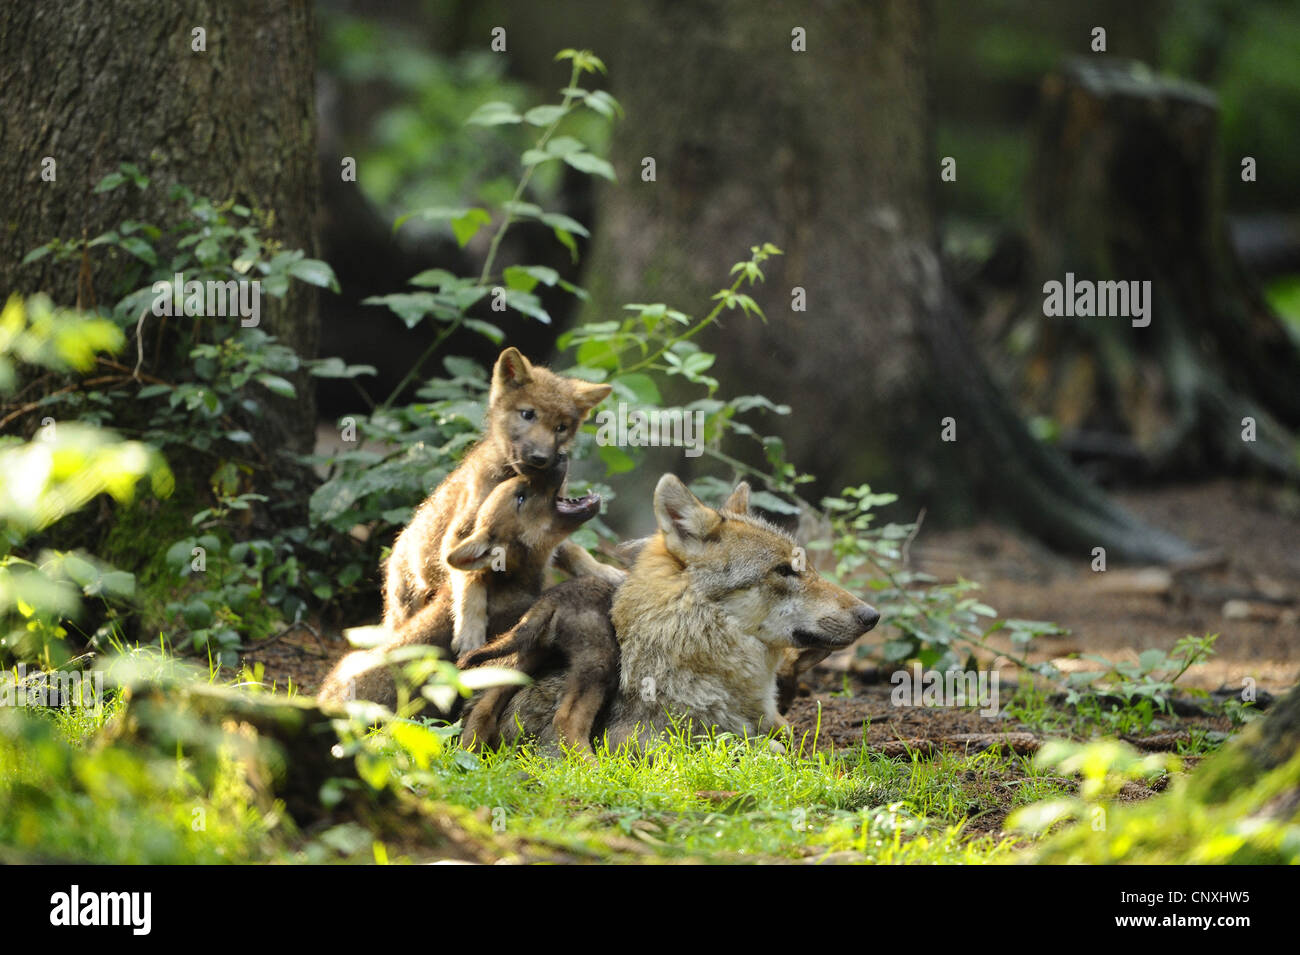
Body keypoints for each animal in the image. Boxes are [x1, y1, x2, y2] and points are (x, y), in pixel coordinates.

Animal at [382, 347, 619, 655]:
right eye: (528, 414)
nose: (541, 459)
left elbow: (576, 552)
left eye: (561, 427)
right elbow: (471, 583)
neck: (510, 475)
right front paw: (470, 633)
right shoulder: (461, 536)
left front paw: (606, 571)